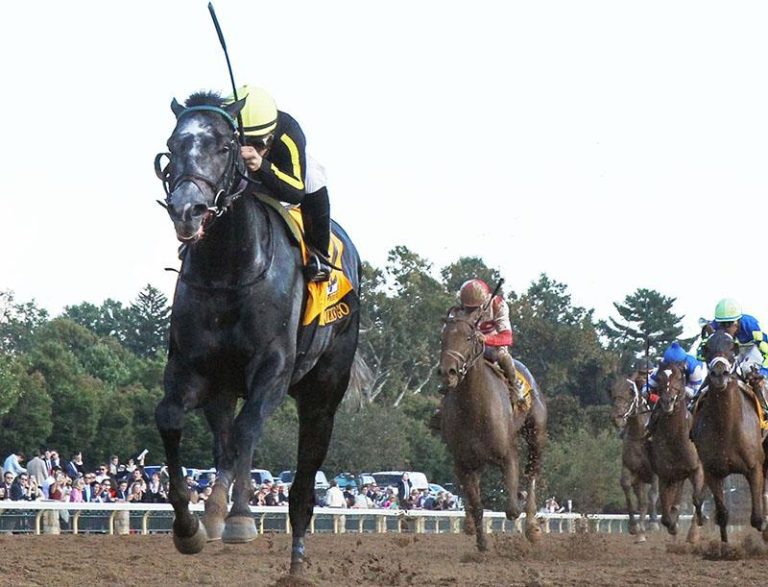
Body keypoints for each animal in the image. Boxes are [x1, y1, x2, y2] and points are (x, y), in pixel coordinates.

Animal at [154, 91, 361, 575]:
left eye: (226, 146)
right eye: (173, 145)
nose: (187, 210)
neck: (228, 268)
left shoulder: (274, 366)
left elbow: (249, 429)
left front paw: (240, 519)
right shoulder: (194, 368)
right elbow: (173, 419)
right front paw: (190, 527)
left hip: (323, 392)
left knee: (303, 476)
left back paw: (297, 558)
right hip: (224, 385)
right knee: (224, 439)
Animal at [437, 308, 547, 552]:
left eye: (469, 337)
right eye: (443, 337)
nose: (447, 372)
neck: (474, 408)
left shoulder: (509, 454)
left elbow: (513, 508)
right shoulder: (463, 462)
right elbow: (477, 505)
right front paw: (482, 543)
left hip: (536, 432)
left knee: (532, 473)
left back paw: (532, 527)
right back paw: (469, 523)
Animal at [609, 375, 659, 541]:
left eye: (631, 392)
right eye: (612, 391)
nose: (616, 418)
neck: (641, 435)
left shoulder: (656, 472)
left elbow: (652, 496)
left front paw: (653, 523)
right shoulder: (631, 469)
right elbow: (626, 487)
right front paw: (635, 527)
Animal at [648, 364, 706, 542]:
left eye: (680, 377)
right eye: (660, 377)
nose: (668, 401)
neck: (675, 438)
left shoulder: (697, 469)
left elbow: (697, 498)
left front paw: (701, 519)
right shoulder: (665, 475)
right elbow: (666, 516)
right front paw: (673, 526)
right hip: (677, 476)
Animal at [691, 329, 768, 543]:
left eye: (733, 346)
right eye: (706, 347)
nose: (719, 374)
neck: (726, 428)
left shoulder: (754, 467)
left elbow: (757, 518)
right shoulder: (713, 471)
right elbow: (723, 515)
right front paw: (725, 546)